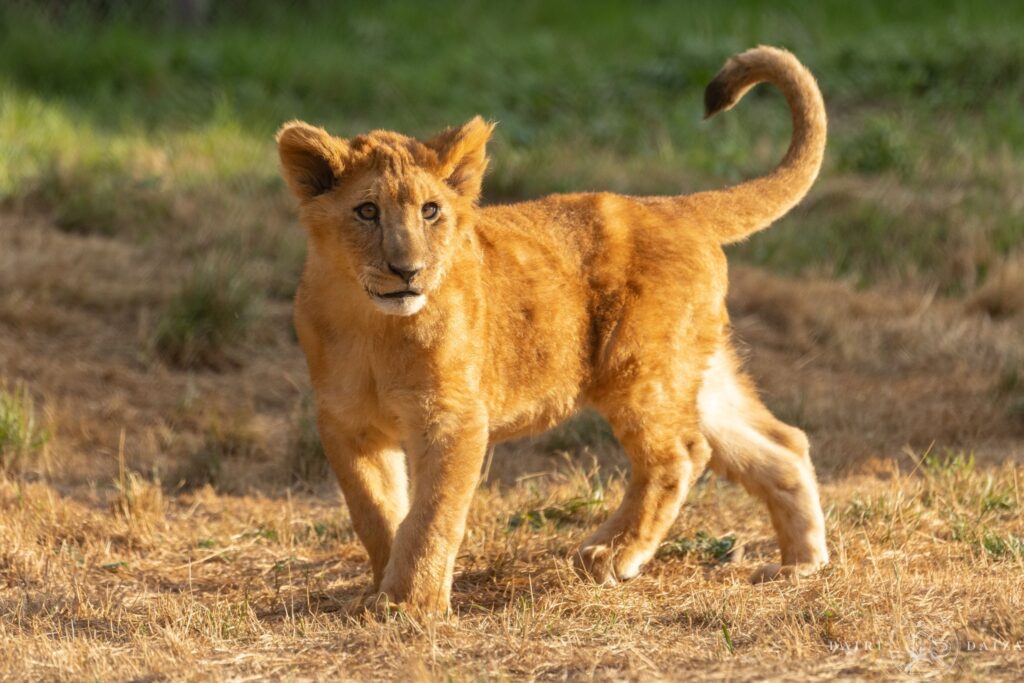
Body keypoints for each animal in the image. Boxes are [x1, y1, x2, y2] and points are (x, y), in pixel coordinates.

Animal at [276, 46, 829, 615]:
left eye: (430, 211)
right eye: (366, 211)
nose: (407, 270)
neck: (372, 325)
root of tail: (671, 206)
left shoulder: (454, 419)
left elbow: (431, 515)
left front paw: (410, 603)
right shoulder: (347, 423)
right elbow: (376, 511)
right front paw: (383, 590)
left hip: (639, 368)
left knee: (679, 454)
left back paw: (609, 553)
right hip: (694, 370)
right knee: (782, 443)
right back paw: (800, 566)